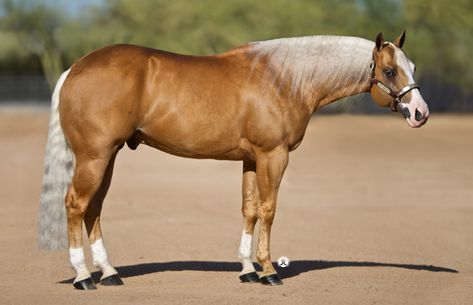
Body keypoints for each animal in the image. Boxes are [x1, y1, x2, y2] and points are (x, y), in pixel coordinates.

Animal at [37, 32, 428, 288]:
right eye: (390, 71)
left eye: (411, 65)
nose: (420, 113)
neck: (284, 79)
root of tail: (75, 67)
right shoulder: (273, 155)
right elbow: (269, 209)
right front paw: (269, 271)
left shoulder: (252, 159)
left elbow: (249, 209)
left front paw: (247, 269)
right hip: (94, 157)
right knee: (75, 205)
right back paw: (83, 276)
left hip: (108, 156)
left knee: (94, 207)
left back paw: (110, 274)